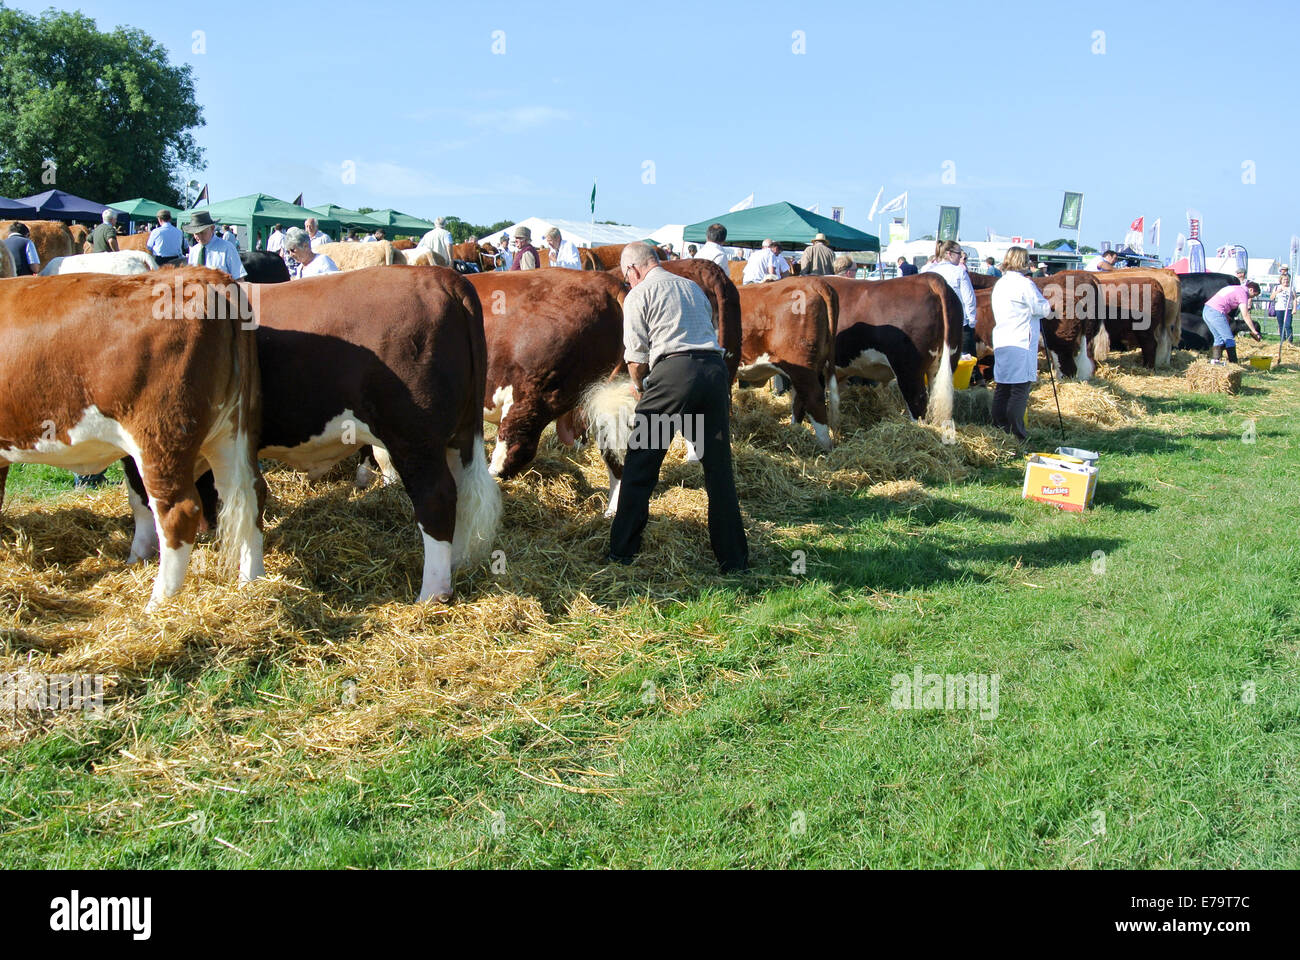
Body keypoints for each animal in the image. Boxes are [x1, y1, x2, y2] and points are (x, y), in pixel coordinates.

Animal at [0, 269, 264, 609]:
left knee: (178, 512)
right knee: (249, 495)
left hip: (160, 439)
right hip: (231, 434)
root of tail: (206, 277)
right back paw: (251, 581)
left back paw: (158, 603)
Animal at [124, 266, 501, 603]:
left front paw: (139, 553)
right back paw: (457, 562)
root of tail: (442, 277)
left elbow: (141, 497)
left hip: (414, 439)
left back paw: (432, 593)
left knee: (435, 498)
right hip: (456, 438)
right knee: (463, 492)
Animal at [736, 277, 840, 449]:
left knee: (814, 397)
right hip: (810, 367)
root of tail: (813, 282)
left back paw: (824, 445)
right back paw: (793, 433)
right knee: (800, 400)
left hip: (801, 367)